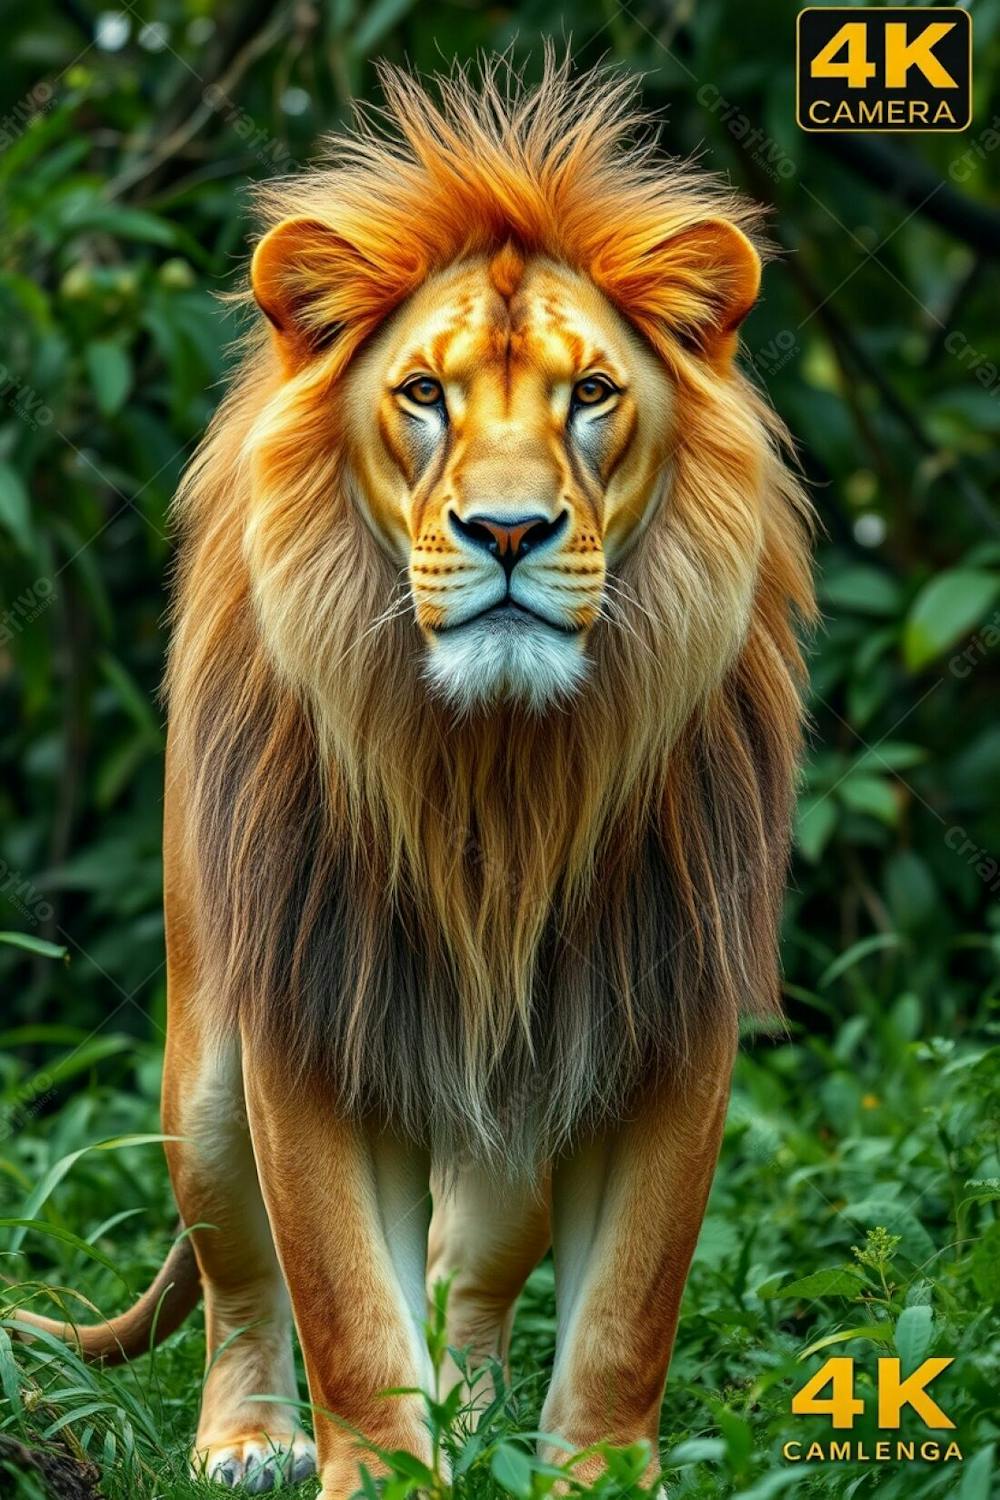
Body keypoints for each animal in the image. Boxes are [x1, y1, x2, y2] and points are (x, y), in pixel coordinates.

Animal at [14, 56, 813, 1497]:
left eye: (590, 394)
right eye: (424, 395)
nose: (507, 530)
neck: (495, 770)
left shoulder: (667, 1015)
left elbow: (626, 1310)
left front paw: (594, 1474)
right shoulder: (306, 1007)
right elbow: (341, 1300)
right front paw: (381, 1467)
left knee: (469, 1267)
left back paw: (480, 1415)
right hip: (202, 1070)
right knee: (238, 1277)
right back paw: (252, 1441)